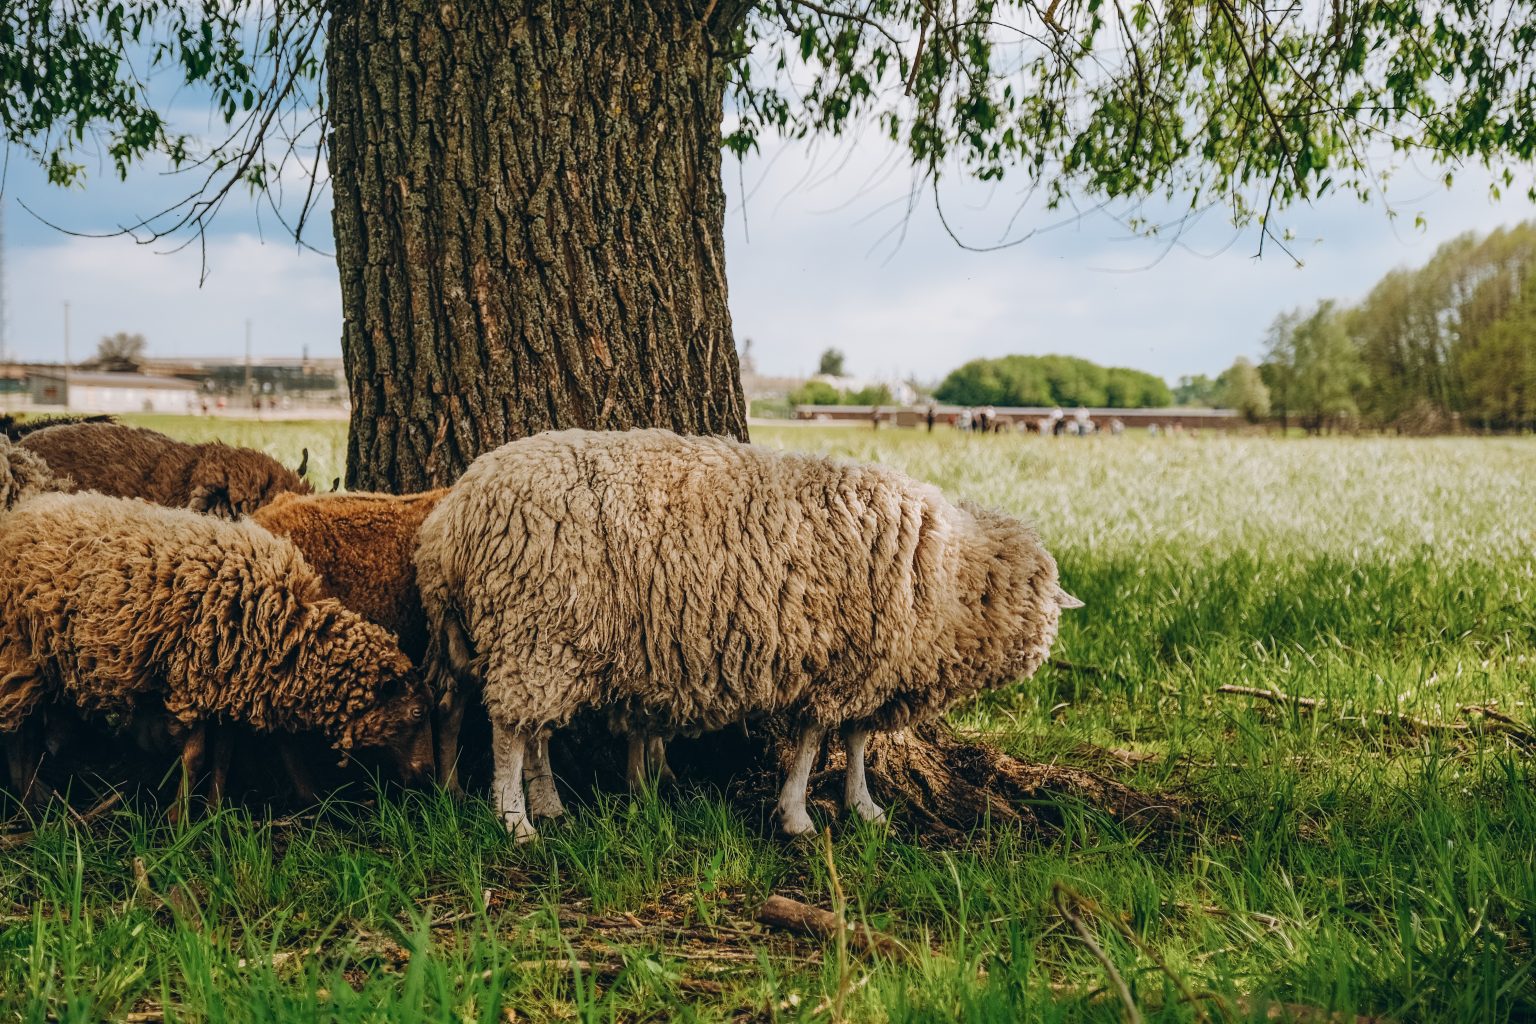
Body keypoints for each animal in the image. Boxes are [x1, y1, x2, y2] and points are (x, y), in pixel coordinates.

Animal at [0, 490, 436, 810]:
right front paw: (179, 822)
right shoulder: (193, 679)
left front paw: (213, 812)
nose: (429, 775)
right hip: (19, 651)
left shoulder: (227, 681)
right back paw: (31, 802)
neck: (285, 623)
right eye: (416, 714)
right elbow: (195, 757)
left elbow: (223, 753)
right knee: (20, 730)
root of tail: (20, 512)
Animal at [414, 428, 1081, 841]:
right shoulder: (840, 666)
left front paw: (863, 806)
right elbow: (813, 744)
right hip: (536, 627)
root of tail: (452, 518)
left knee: (517, 724)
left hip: (542, 639)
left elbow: (857, 741)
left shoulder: (866, 668)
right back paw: (514, 820)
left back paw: (525, 802)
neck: (951, 572)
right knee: (508, 731)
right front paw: (798, 817)